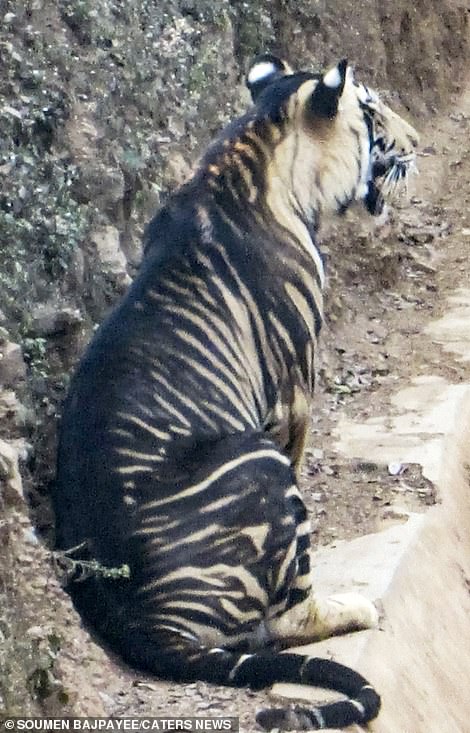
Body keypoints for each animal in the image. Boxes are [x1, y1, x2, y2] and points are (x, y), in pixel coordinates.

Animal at [52, 55, 419, 730]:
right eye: (373, 109)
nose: (416, 143)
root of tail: (140, 621)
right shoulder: (295, 391)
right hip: (257, 463)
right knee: (286, 618)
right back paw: (356, 607)